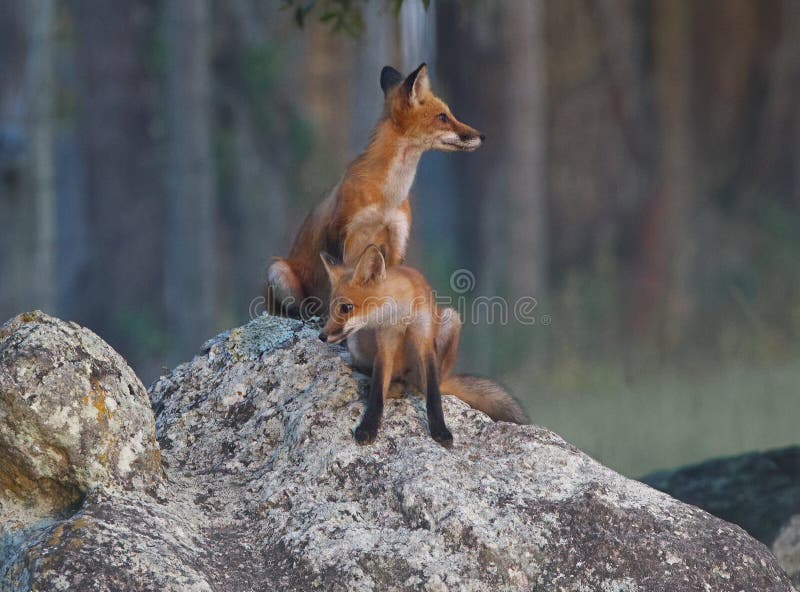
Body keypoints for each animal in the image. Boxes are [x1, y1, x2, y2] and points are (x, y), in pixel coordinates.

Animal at [265, 62, 484, 317]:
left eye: (449, 115)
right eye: (443, 117)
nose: (482, 135)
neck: (387, 199)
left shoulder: (397, 240)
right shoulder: (338, 231)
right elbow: (335, 281)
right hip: (277, 269)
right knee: (298, 309)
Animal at [318, 245, 527, 445]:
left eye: (346, 308)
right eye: (331, 308)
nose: (322, 336)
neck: (401, 313)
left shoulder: (425, 338)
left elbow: (433, 395)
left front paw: (440, 431)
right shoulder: (386, 342)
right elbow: (377, 392)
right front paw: (368, 427)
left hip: (451, 319)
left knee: (422, 387)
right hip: (356, 339)